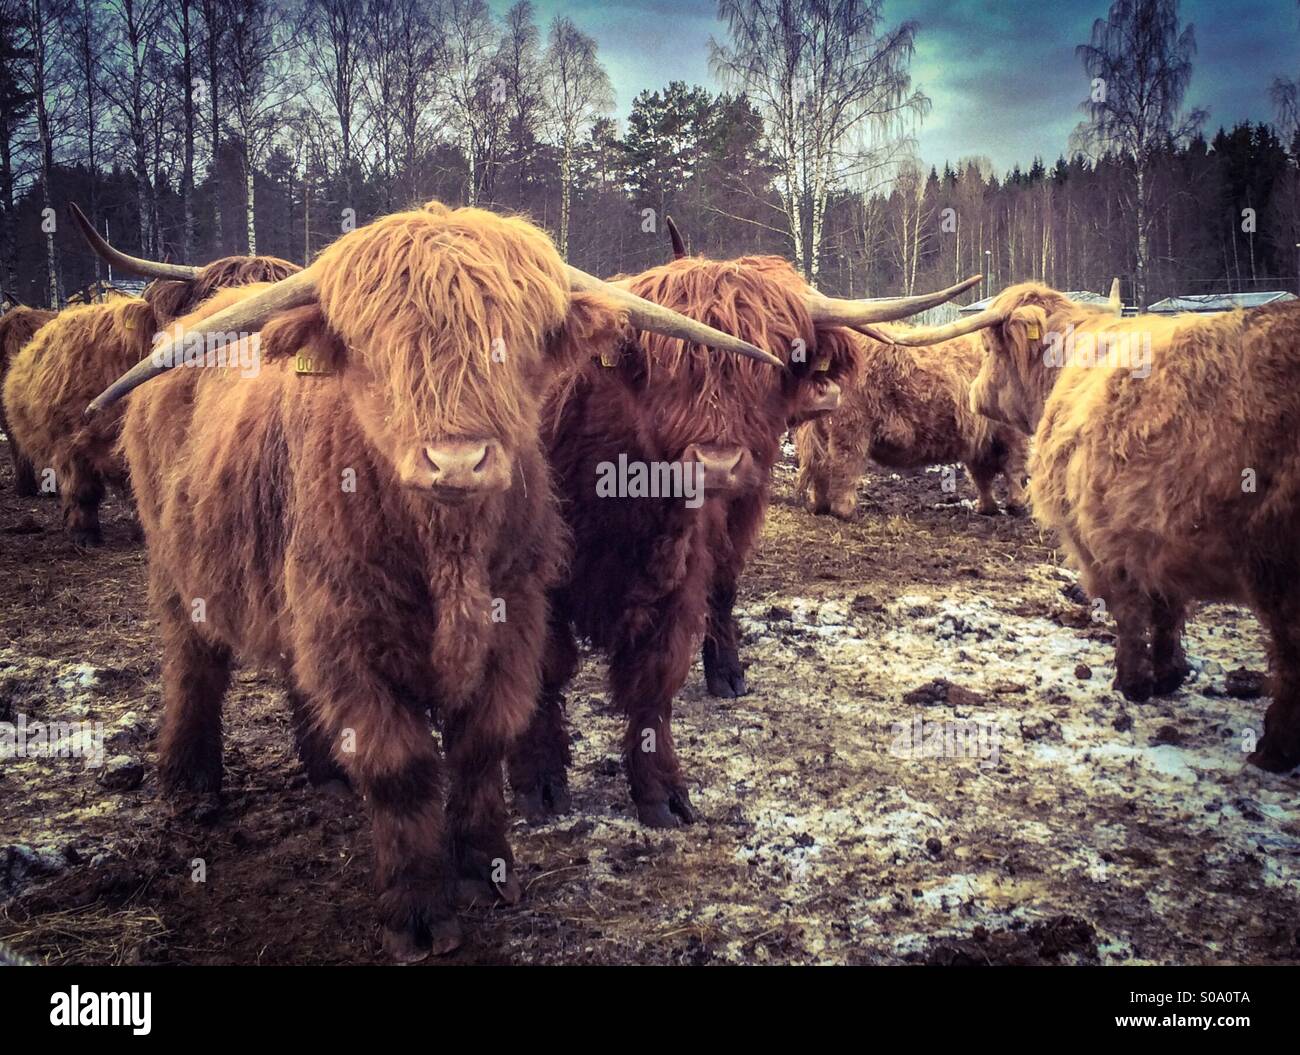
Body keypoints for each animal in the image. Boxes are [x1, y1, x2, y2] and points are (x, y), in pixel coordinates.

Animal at [87, 200, 778, 959]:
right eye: (376, 347)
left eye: (514, 344)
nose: (456, 461)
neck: (448, 550)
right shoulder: (352, 637)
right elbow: (402, 768)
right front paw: (418, 910)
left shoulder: (515, 624)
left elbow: (481, 745)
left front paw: (486, 871)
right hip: (181, 569)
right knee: (194, 664)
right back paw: (190, 783)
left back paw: (327, 774)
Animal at [509, 250, 981, 827]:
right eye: (660, 363)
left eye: (773, 364)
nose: (718, 465)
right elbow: (544, 675)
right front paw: (539, 780)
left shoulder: (679, 575)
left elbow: (655, 679)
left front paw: (661, 789)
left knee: (724, 592)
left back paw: (727, 674)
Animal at [890, 280, 1300, 774]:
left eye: (987, 348)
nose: (972, 394)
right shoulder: (1157, 537)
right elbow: (1167, 611)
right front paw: (1168, 676)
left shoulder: (1098, 541)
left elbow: (1128, 613)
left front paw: (1130, 683)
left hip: (1276, 569)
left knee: (1291, 656)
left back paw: (1273, 750)